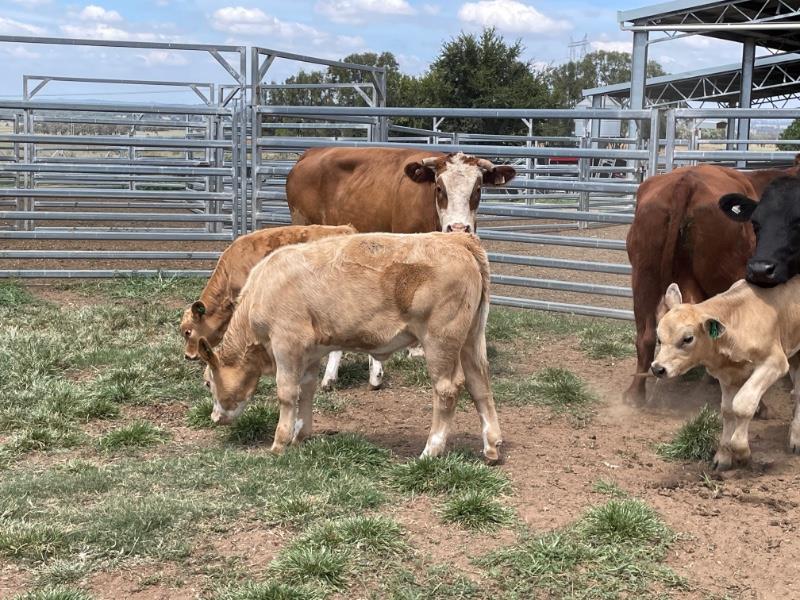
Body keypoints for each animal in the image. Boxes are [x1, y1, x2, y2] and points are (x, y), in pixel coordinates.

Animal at [195, 231, 503, 462]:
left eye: (208, 382)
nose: (214, 418)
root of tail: (457, 240)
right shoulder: (310, 351)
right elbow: (306, 389)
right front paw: (300, 435)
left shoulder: (286, 343)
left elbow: (287, 393)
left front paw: (279, 443)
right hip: (471, 339)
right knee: (479, 384)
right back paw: (491, 446)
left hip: (440, 340)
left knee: (447, 390)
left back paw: (431, 450)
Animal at [651, 279, 800, 470]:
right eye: (659, 338)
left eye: (688, 338)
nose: (657, 369)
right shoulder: (728, 375)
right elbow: (727, 410)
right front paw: (723, 456)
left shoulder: (775, 362)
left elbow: (742, 404)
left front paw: (742, 452)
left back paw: (795, 438)